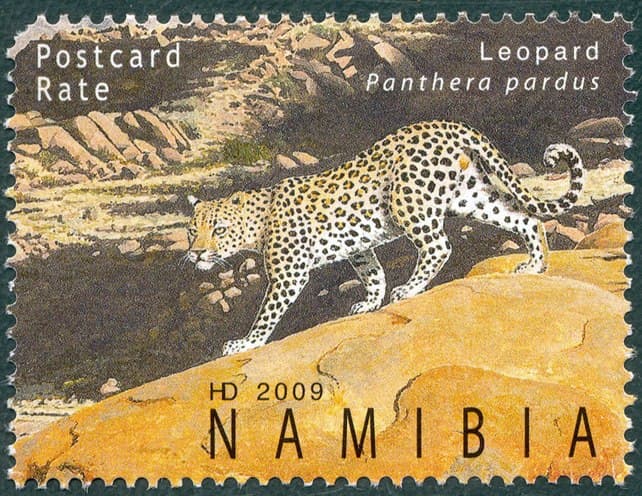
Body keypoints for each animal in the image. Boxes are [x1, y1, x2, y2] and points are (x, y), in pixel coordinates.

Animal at [185, 120, 584, 356]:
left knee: (439, 245)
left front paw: (246, 343)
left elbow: (267, 313)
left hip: (408, 201)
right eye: (192, 231)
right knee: (524, 217)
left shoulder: (289, 274)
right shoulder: (359, 250)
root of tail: (450, 124)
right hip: (472, 197)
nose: (196, 254)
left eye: (218, 230)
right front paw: (369, 304)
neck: (258, 219)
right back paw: (533, 266)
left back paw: (410, 289)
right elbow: (373, 274)